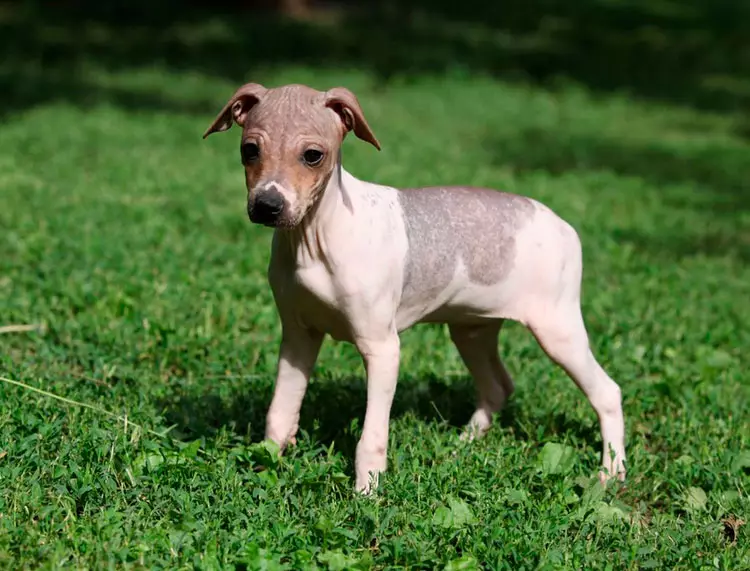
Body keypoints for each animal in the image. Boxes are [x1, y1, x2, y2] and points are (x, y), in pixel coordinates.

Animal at [204, 82, 628, 494]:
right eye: (249, 150)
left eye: (312, 155)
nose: (267, 205)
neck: (313, 239)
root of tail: (564, 225)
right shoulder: (297, 335)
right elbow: (280, 410)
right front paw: (268, 465)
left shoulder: (382, 348)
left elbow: (372, 435)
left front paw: (367, 493)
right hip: (471, 330)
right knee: (498, 385)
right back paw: (463, 444)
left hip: (557, 331)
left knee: (608, 392)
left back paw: (612, 473)